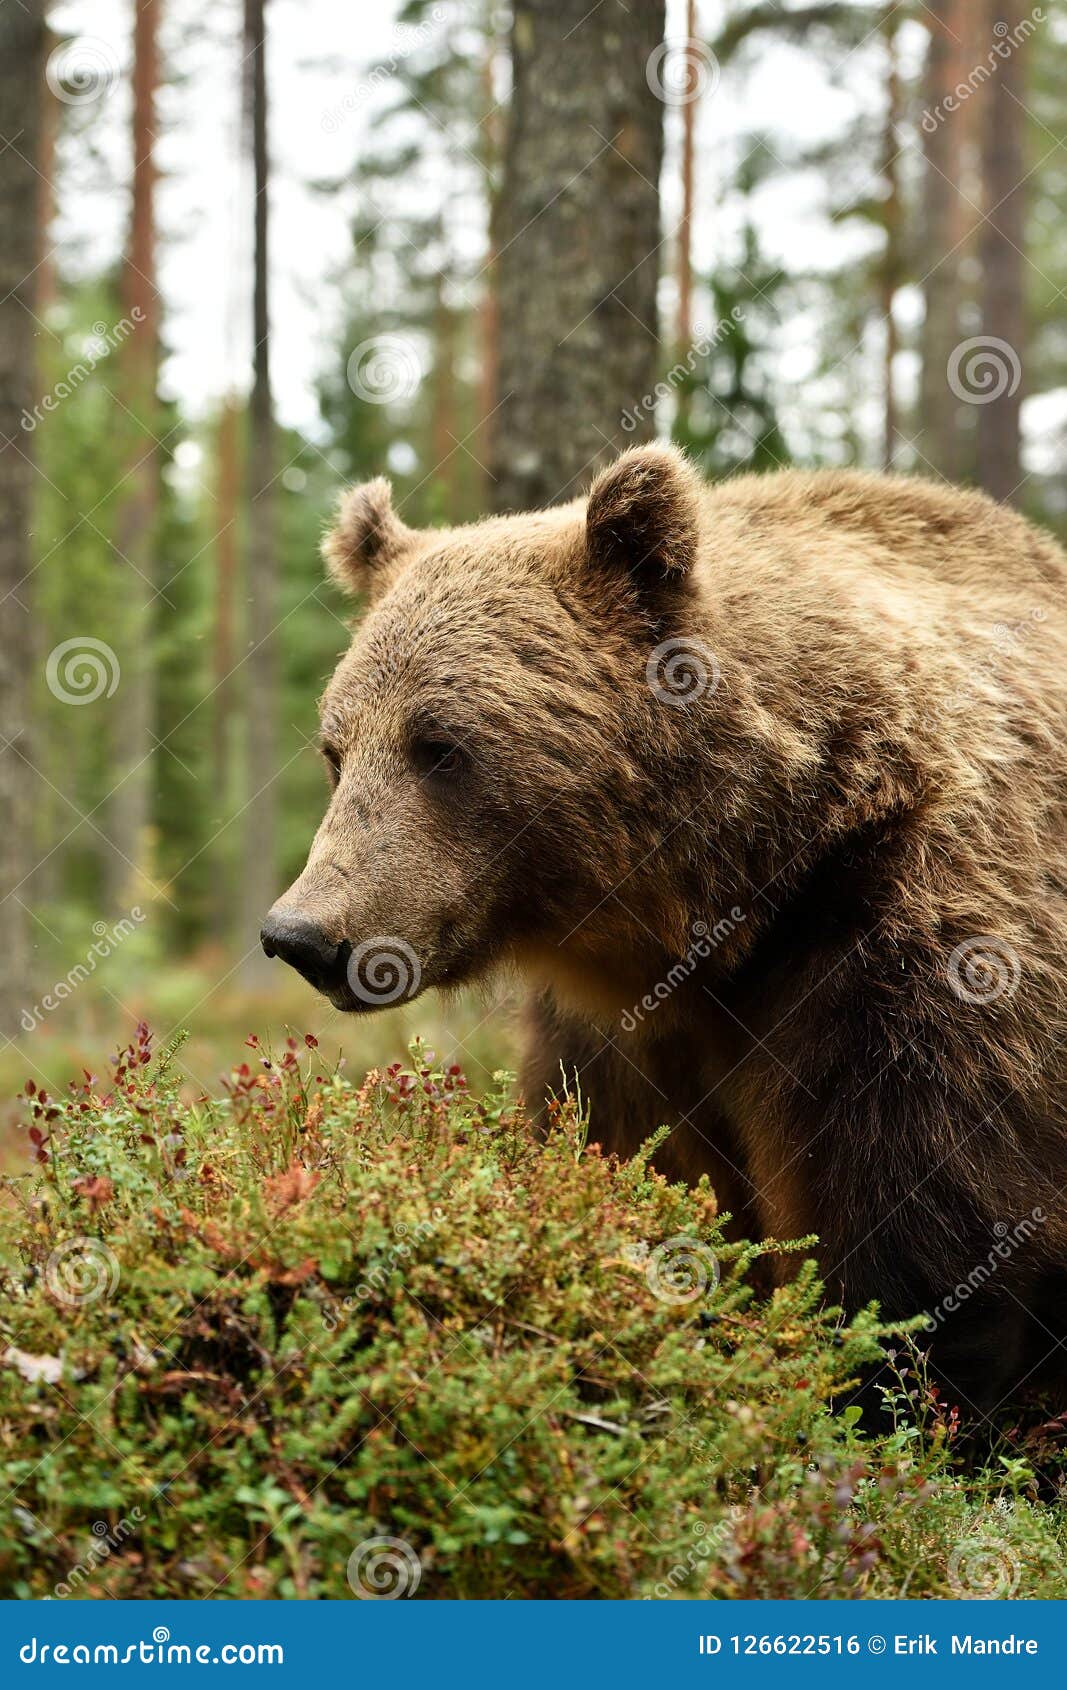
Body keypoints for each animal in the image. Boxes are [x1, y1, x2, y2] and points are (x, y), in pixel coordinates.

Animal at [261, 443, 1067, 1418]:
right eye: (336, 750)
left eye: (439, 745)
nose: (304, 934)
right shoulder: (628, 1036)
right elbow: (639, 1165)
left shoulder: (920, 949)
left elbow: (913, 1221)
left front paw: (881, 1390)